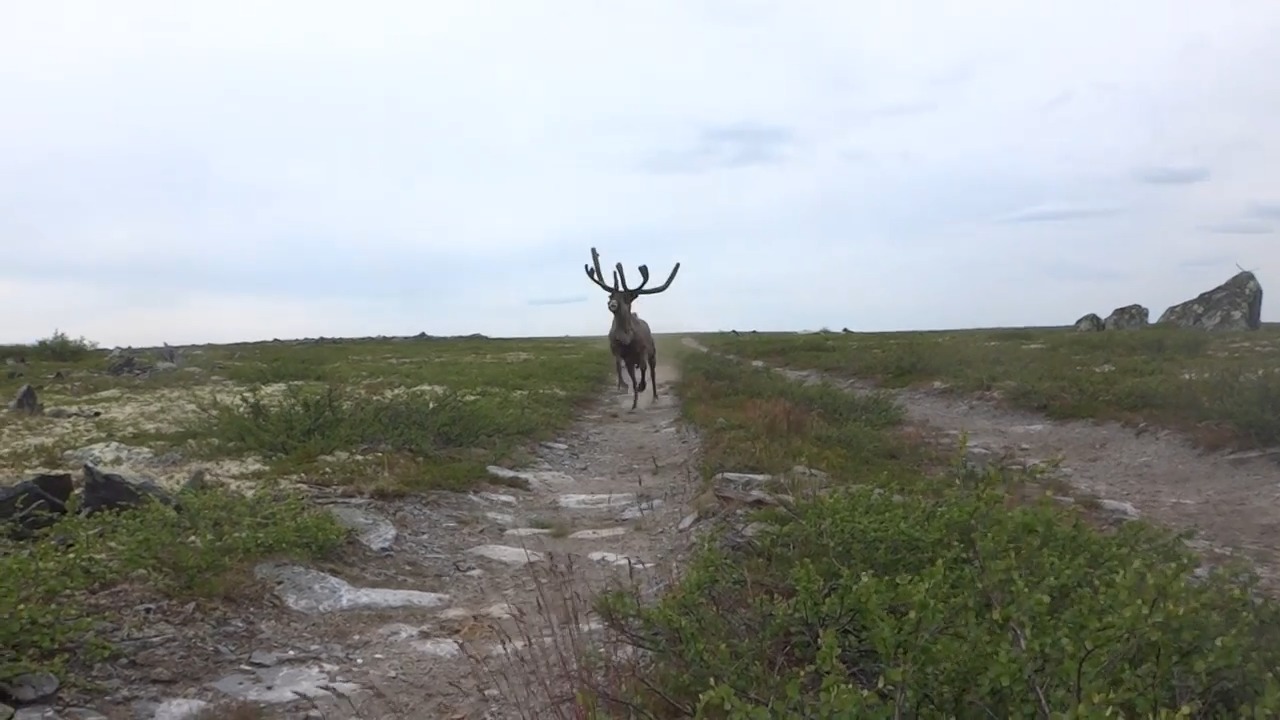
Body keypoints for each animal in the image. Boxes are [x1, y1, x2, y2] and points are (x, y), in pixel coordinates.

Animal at [583, 247, 681, 410]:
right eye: (610, 295)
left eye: (627, 298)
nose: (612, 304)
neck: (626, 337)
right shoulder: (618, 351)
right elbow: (619, 365)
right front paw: (623, 385)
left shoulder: (643, 350)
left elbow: (643, 368)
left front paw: (642, 386)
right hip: (631, 362)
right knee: (634, 377)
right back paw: (634, 402)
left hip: (653, 354)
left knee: (651, 372)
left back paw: (654, 396)